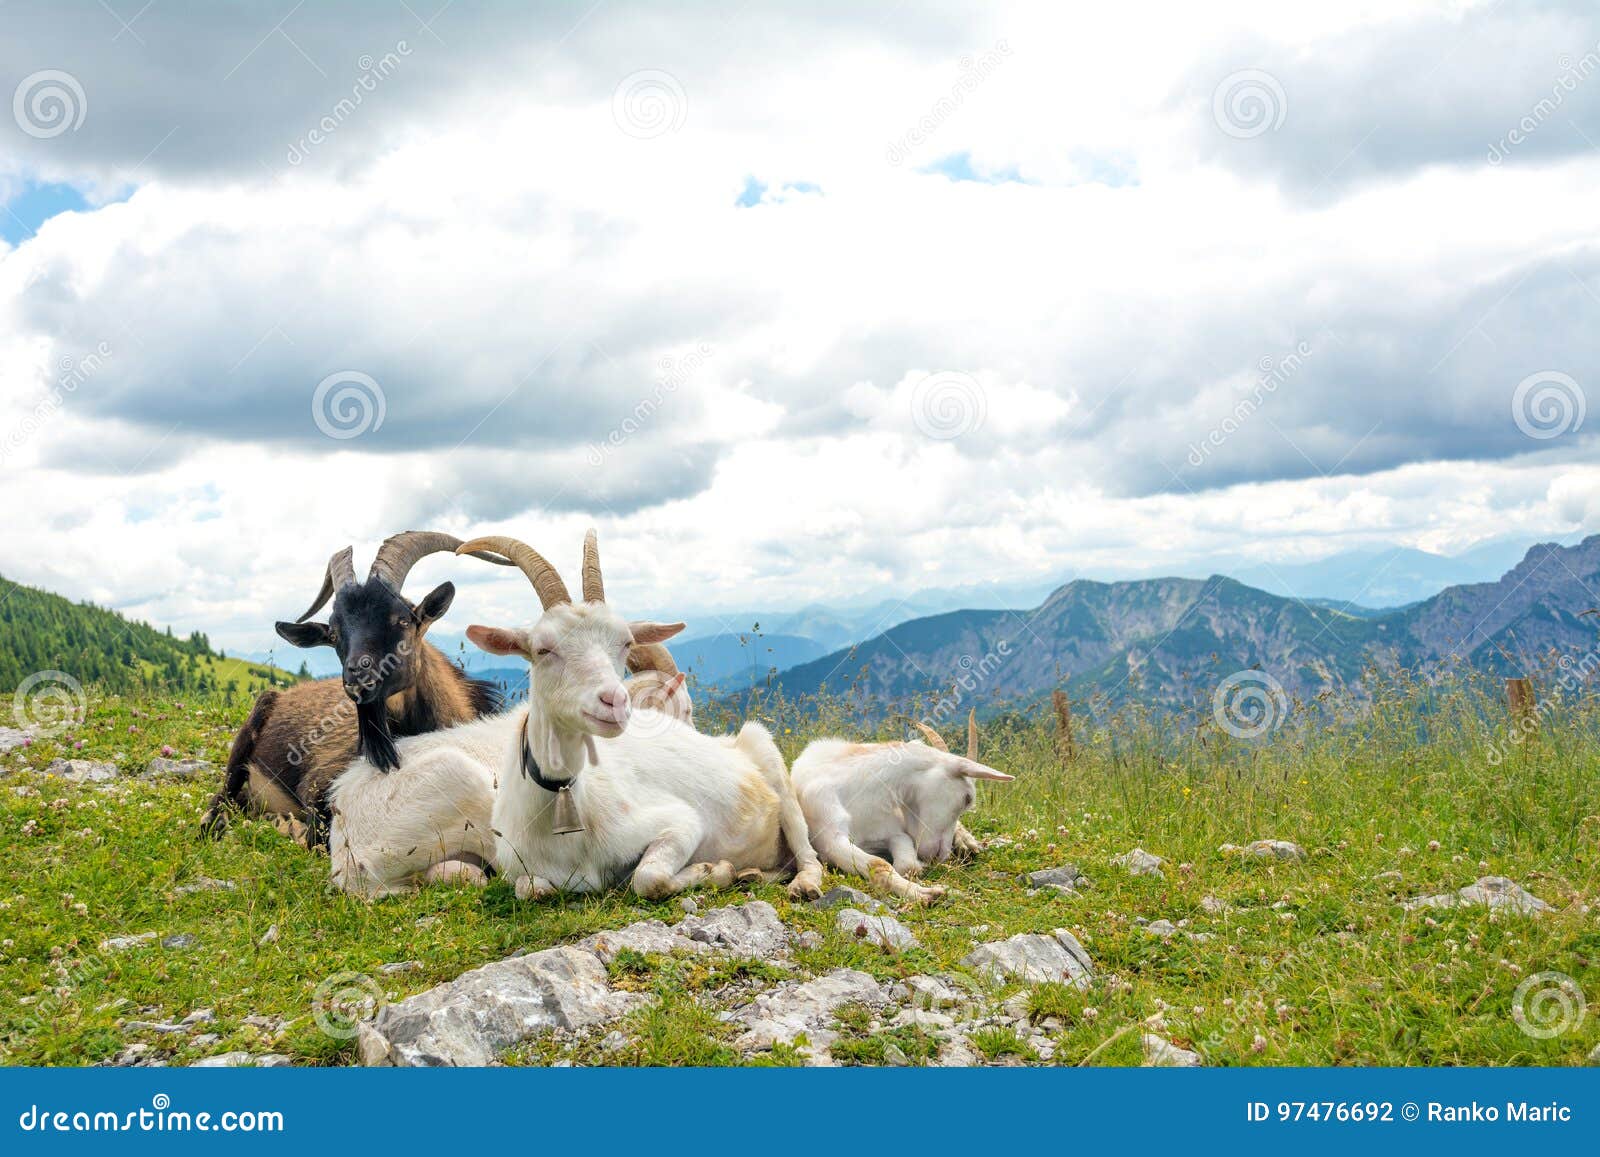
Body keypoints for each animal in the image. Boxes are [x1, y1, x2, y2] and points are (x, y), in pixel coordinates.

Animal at [790, 710, 1012, 905]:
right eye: (968, 798)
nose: (940, 856)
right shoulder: (830, 840)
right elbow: (879, 864)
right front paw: (925, 894)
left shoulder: (894, 832)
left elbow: (906, 863)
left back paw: (968, 844)